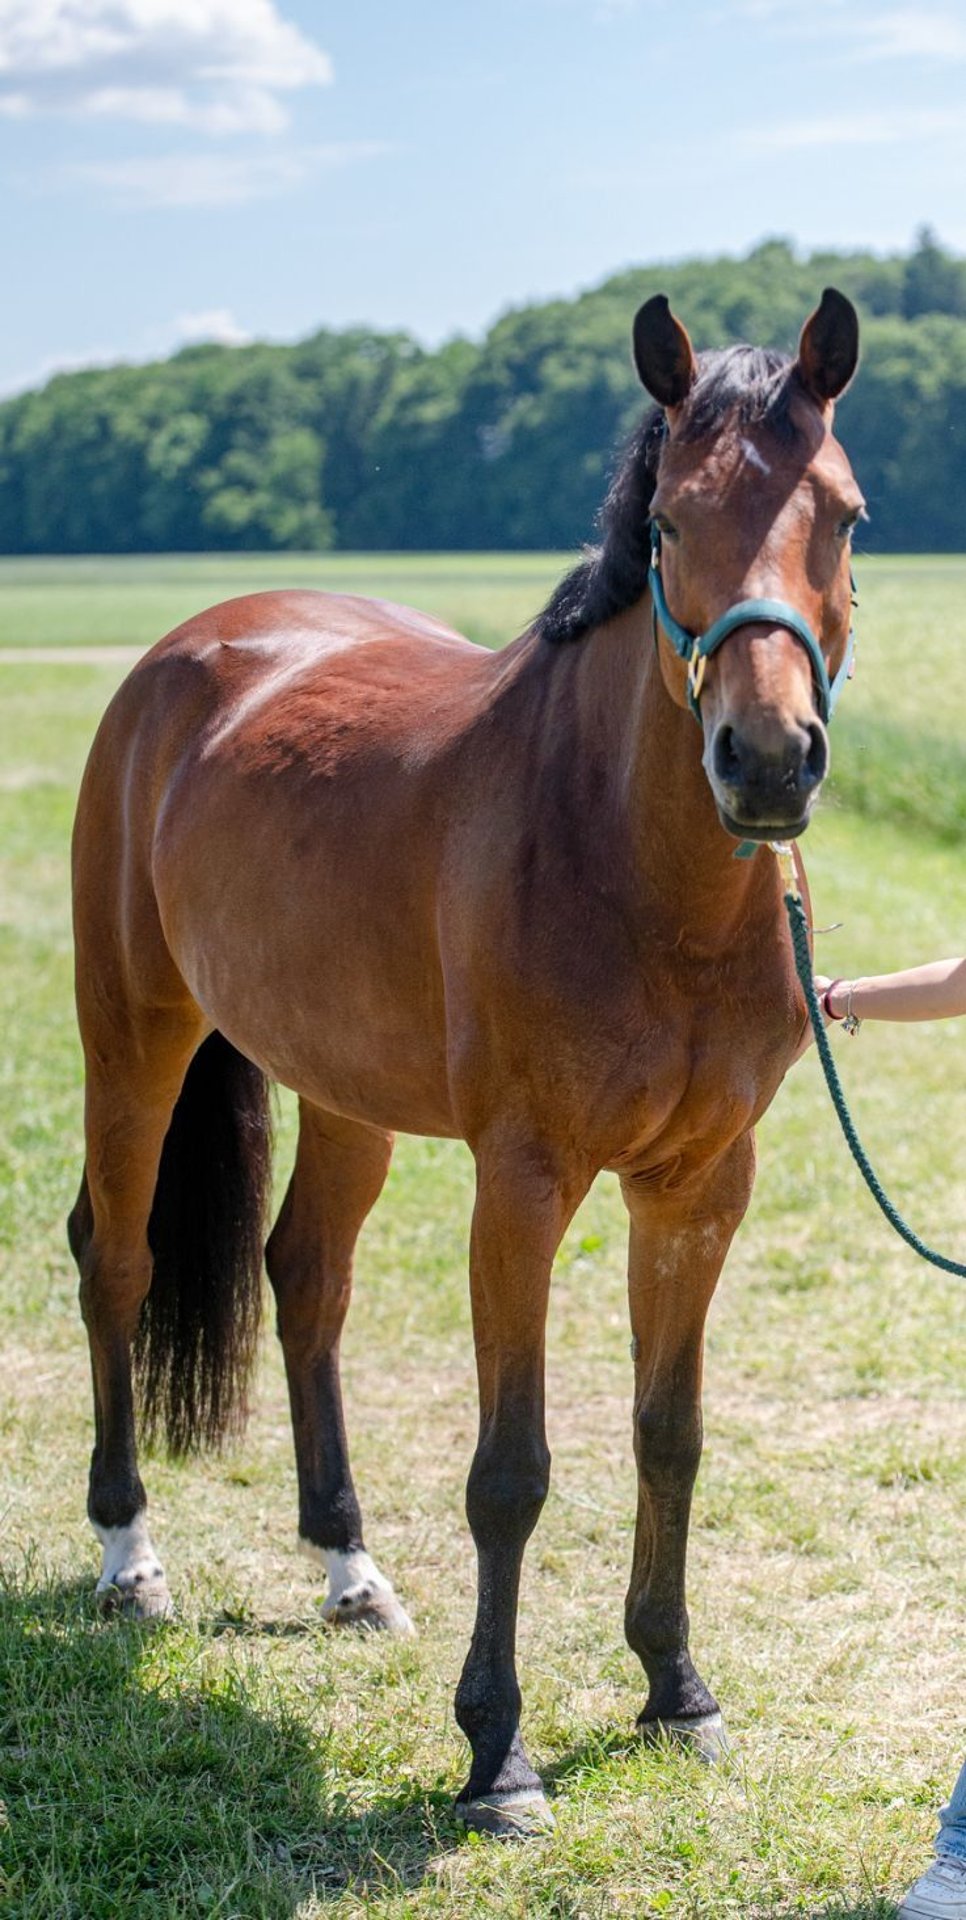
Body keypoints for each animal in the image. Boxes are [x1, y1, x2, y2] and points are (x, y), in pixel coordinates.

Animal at [68, 287, 863, 1837]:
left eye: (846, 517)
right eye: (668, 521)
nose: (763, 761)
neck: (629, 865)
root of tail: (197, 651)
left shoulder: (699, 1187)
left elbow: (666, 1433)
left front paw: (676, 1688)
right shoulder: (523, 1185)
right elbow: (512, 1472)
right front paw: (498, 1756)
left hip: (341, 1092)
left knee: (305, 1278)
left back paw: (349, 1571)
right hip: (131, 1034)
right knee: (116, 1261)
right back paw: (131, 1556)